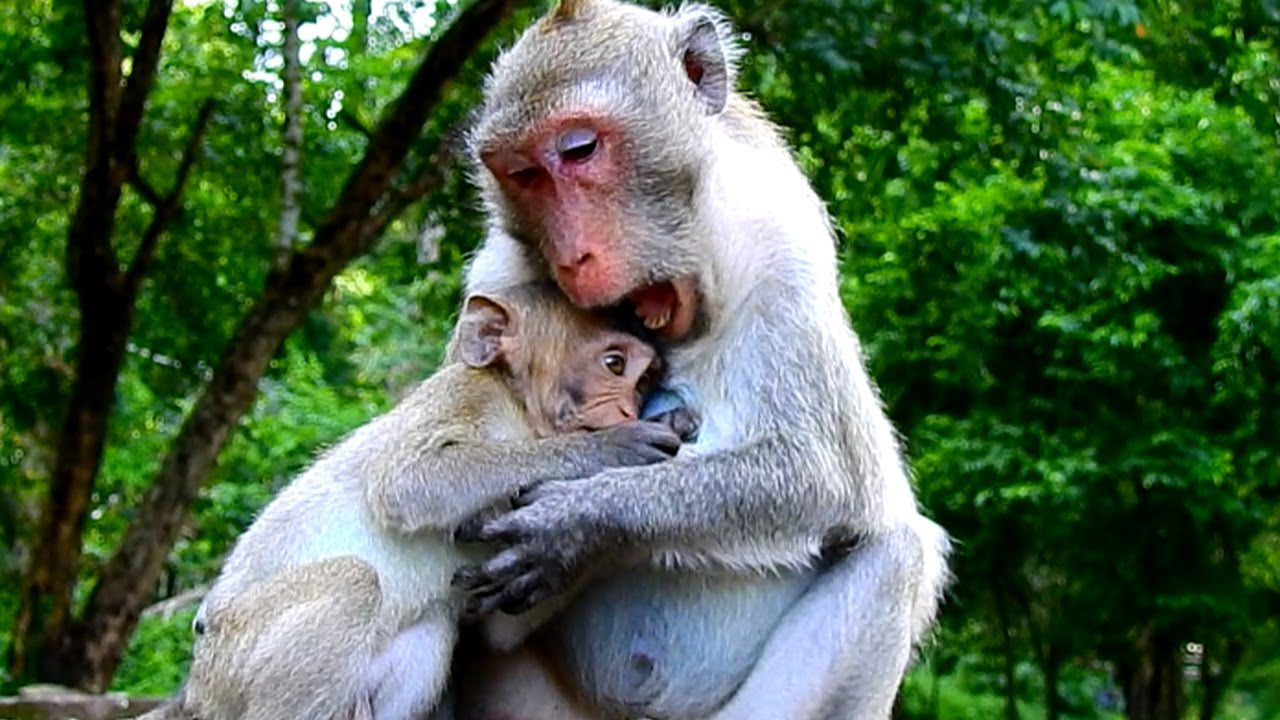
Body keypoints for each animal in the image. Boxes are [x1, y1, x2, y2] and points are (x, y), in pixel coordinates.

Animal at [147, 282, 682, 720]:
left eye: (643, 382)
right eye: (614, 364)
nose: (629, 409)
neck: (518, 412)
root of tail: (194, 692)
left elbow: (501, 628)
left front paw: (581, 534)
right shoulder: (463, 391)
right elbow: (406, 482)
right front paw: (612, 449)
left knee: (433, 630)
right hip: (231, 659)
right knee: (352, 582)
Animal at [441, 1, 954, 718]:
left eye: (578, 149)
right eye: (521, 174)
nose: (572, 258)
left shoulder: (785, 248)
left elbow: (821, 471)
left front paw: (579, 521)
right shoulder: (496, 271)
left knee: (895, 554)